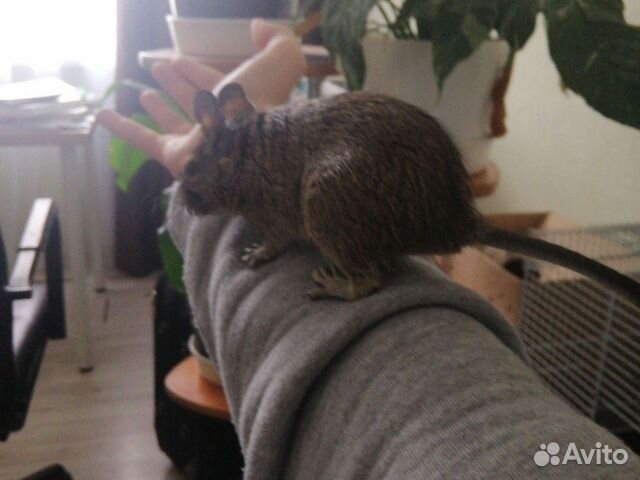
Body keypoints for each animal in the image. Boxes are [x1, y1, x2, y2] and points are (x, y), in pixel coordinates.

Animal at [179, 83, 640, 304]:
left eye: (190, 169)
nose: (182, 201)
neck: (243, 153)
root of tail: (458, 221)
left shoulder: (275, 218)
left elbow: (274, 242)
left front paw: (255, 254)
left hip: (326, 209)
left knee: (369, 282)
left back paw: (335, 287)